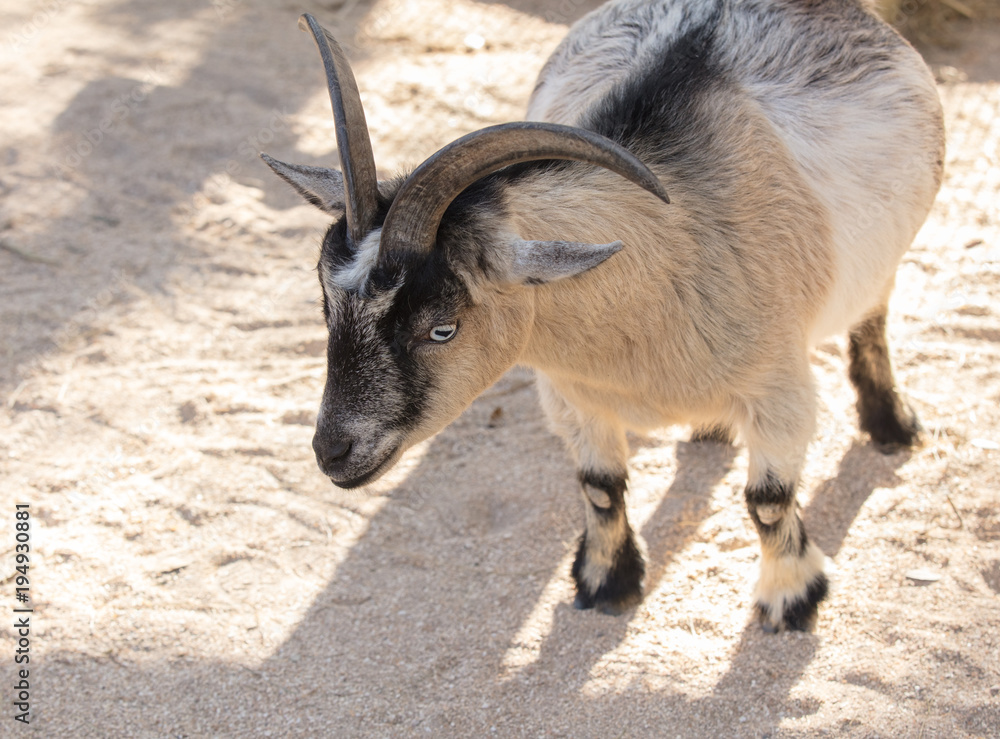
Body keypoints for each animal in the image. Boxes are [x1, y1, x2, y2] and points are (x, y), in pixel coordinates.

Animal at [262, 2, 943, 631]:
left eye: (441, 327)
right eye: (327, 304)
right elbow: (599, 486)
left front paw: (791, 600)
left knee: (873, 313)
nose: (332, 452)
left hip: (880, 261)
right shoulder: (572, 394)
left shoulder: (779, 388)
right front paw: (607, 583)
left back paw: (890, 423)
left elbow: (768, 500)